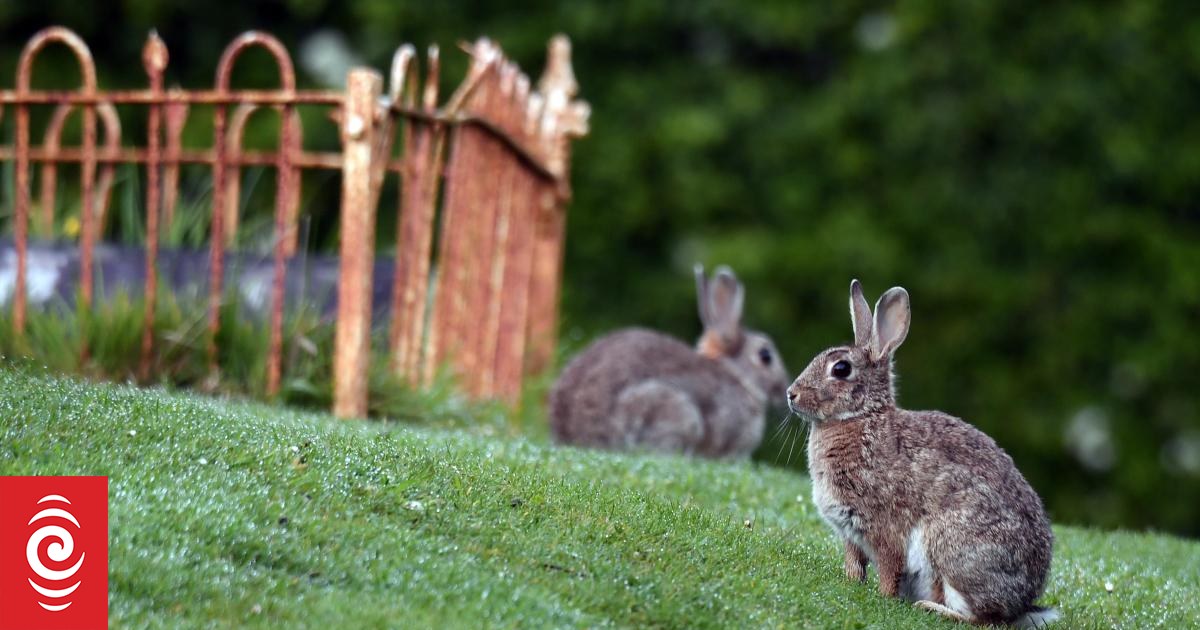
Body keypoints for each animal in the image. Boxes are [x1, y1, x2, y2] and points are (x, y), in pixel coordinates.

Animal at [786, 280, 1057, 628]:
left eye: (841, 369)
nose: (790, 394)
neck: (861, 417)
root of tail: (1022, 605)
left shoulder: (884, 528)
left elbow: (889, 568)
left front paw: (884, 599)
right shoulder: (850, 534)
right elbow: (854, 565)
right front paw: (851, 585)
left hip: (952, 547)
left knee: (983, 617)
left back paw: (931, 608)